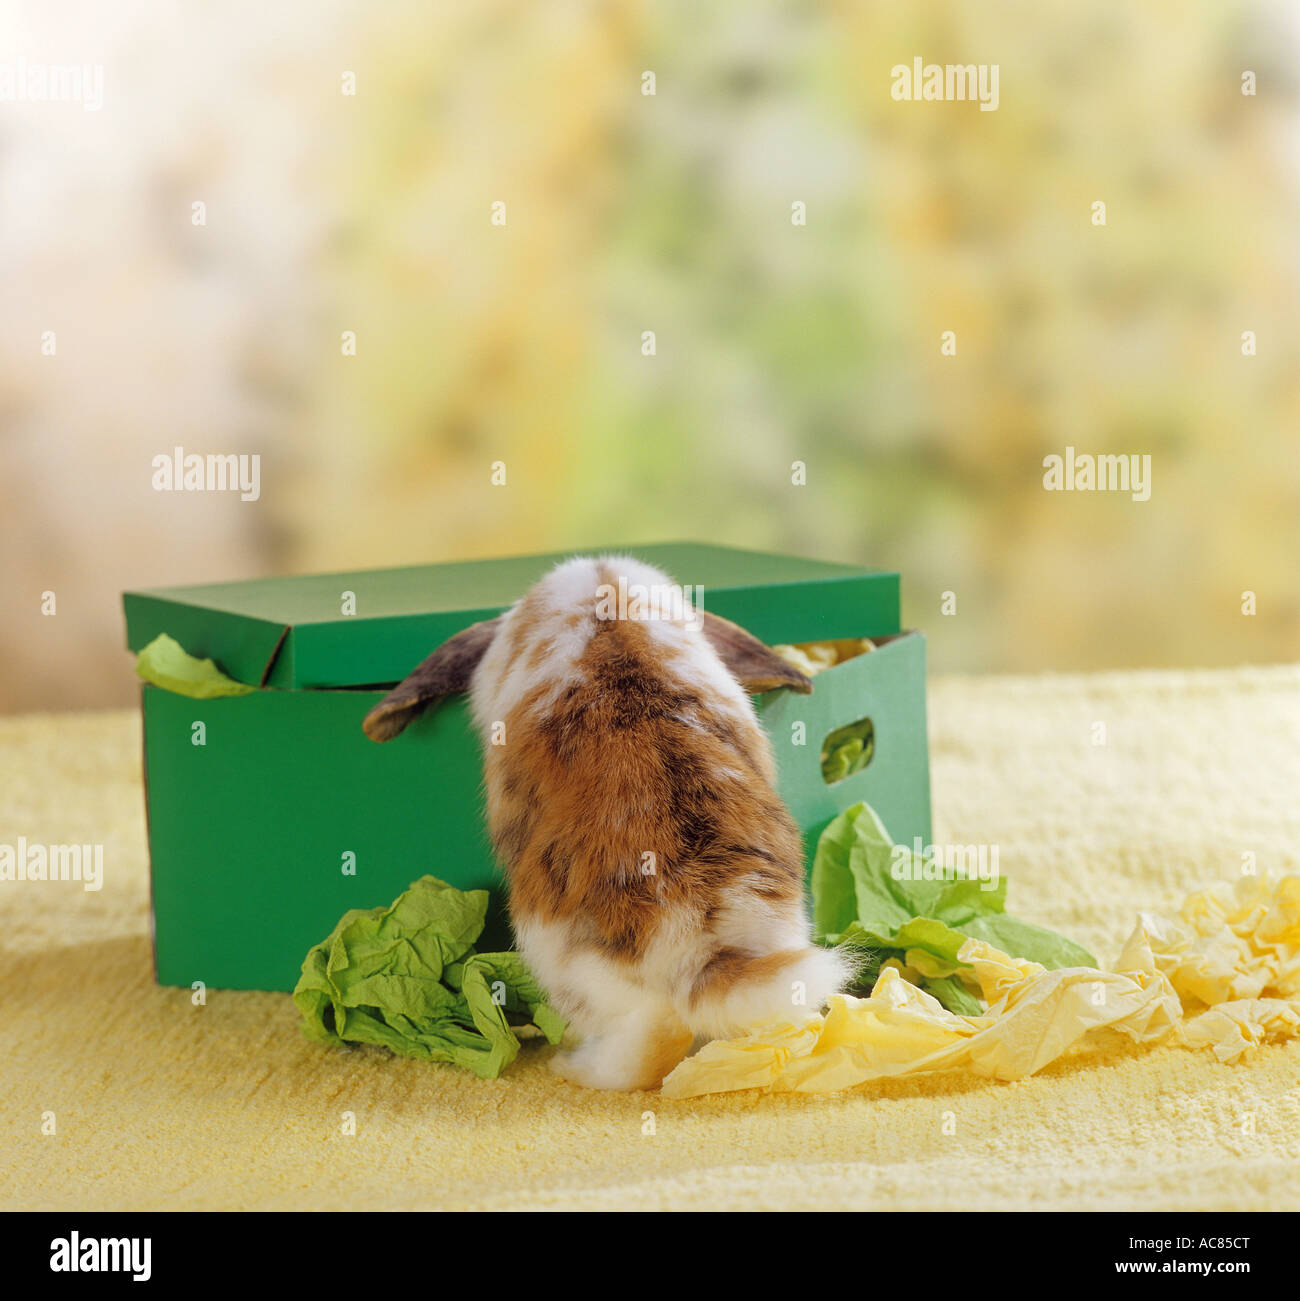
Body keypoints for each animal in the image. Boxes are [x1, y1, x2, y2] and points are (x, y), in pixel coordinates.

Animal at [362, 555, 853, 1090]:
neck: (608, 605)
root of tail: (704, 934)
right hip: (783, 946)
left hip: (568, 969)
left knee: (649, 1042)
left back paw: (571, 1066)